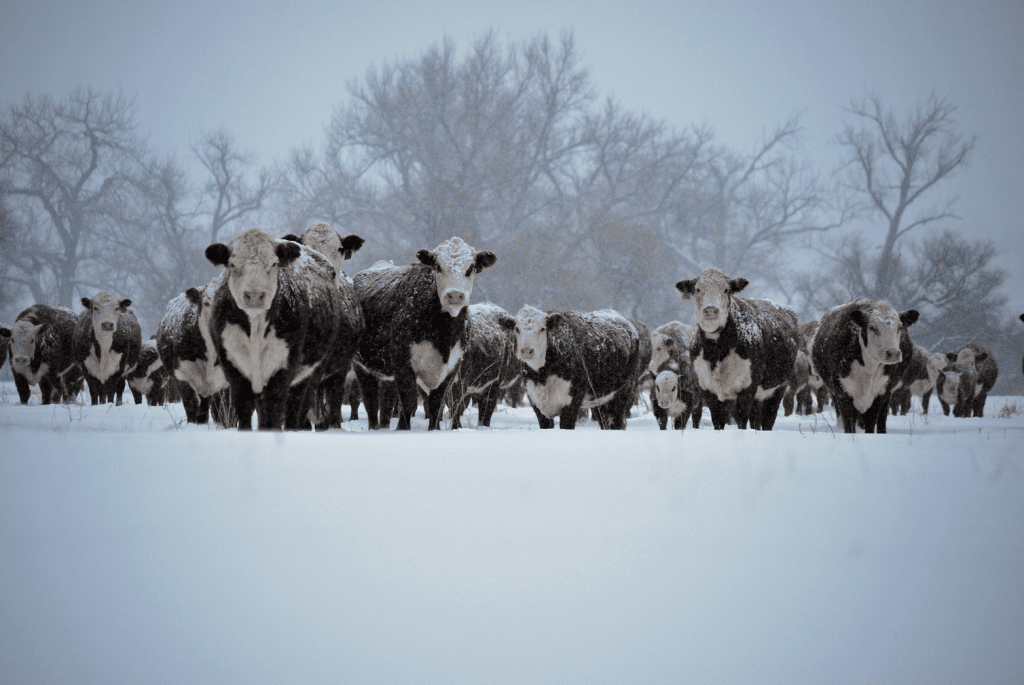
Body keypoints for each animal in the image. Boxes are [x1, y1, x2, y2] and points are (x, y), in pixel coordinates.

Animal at [204, 227, 347, 430]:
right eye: (232, 264)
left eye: (273, 264)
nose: (254, 295)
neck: (256, 329)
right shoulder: (233, 367)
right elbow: (245, 411)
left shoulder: (282, 368)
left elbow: (274, 412)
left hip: (309, 375)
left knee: (296, 408)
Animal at [352, 237, 497, 431]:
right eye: (438, 266)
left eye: (470, 267)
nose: (455, 295)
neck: (444, 334)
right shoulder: (404, 363)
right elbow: (408, 402)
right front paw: (402, 429)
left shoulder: (453, 366)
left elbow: (437, 404)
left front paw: (433, 430)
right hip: (361, 365)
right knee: (371, 401)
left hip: (386, 373)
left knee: (386, 403)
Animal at [497, 306, 645, 430]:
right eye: (517, 329)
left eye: (543, 328)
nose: (527, 350)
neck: (543, 376)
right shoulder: (535, 400)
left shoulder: (572, 400)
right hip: (601, 399)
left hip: (622, 392)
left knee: (616, 422)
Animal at [675, 268, 800, 431]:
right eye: (697, 289)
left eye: (726, 289)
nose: (711, 309)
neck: (716, 352)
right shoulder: (707, 387)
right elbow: (718, 421)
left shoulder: (747, 387)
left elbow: (741, 421)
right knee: (755, 419)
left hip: (778, 387)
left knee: (768, 419)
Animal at [811, 298, 918, 434]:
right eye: (872, 327)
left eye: (899, 327)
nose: (893, 353)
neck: (868, 369)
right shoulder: (843, 392)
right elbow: (849, 424)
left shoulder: (881, 392)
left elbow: (871, 424)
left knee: (881, 419)